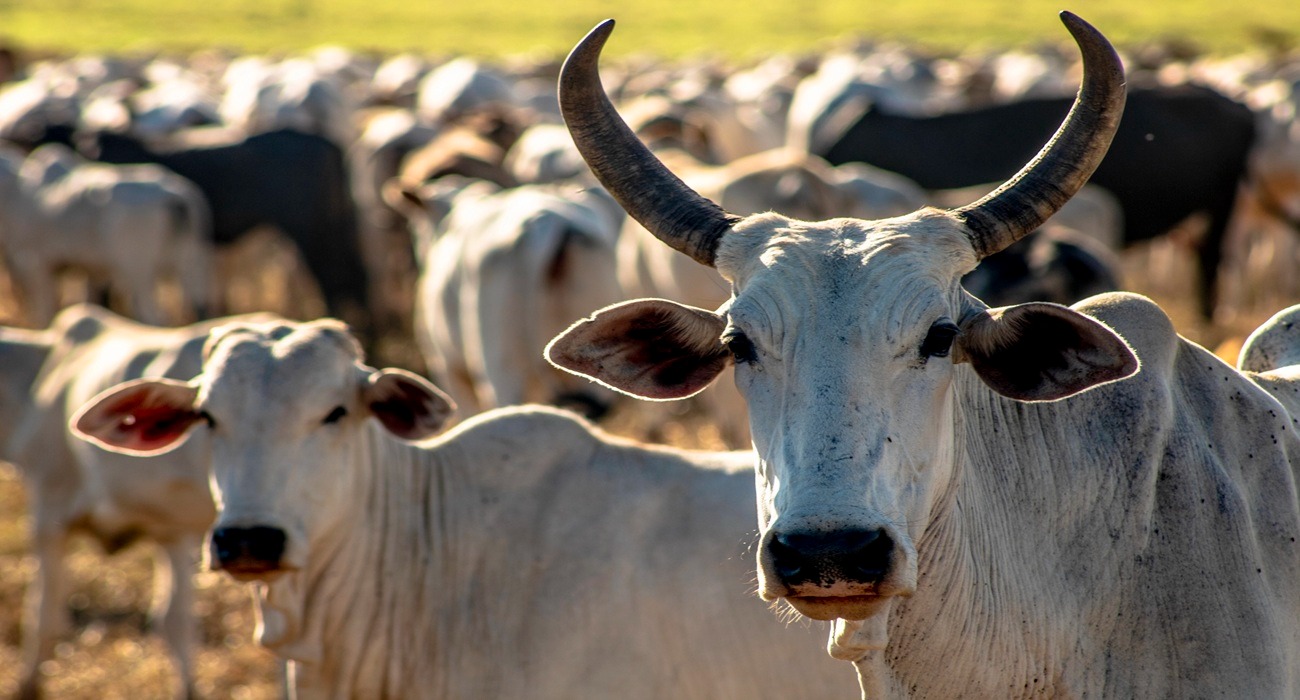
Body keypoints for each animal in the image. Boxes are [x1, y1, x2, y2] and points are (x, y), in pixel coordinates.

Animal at [0, 143, 214, 326]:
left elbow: (46, 313)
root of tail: (177, 199)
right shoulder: (91, 270)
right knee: (199, 307)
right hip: (192, 261)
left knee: (151, 315)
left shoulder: (34, 262)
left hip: (138, 268)